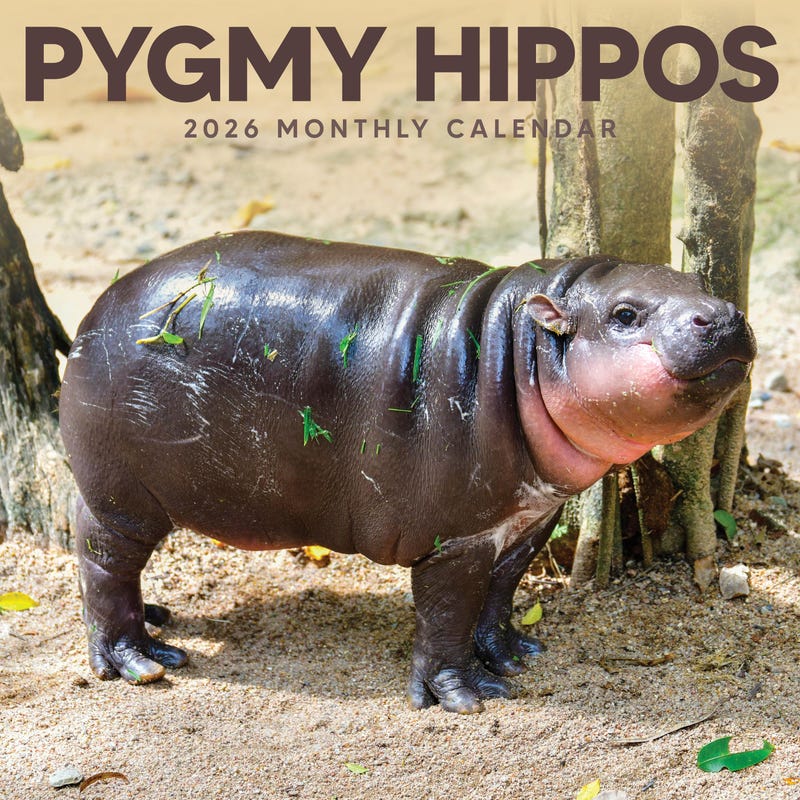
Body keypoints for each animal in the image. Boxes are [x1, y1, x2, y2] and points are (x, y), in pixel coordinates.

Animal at [59, 231, 756, 714]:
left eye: (697, 278)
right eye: (625, 314)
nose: (724, 315)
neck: (519, 349)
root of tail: (100, 304)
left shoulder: (527, 520)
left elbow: (499, 596)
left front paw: (514, 657)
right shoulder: (454, 539)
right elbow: (447, 614)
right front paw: (465, 697)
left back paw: (158, 619)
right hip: (121, 496)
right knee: (102, 561)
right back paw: (142, 661)